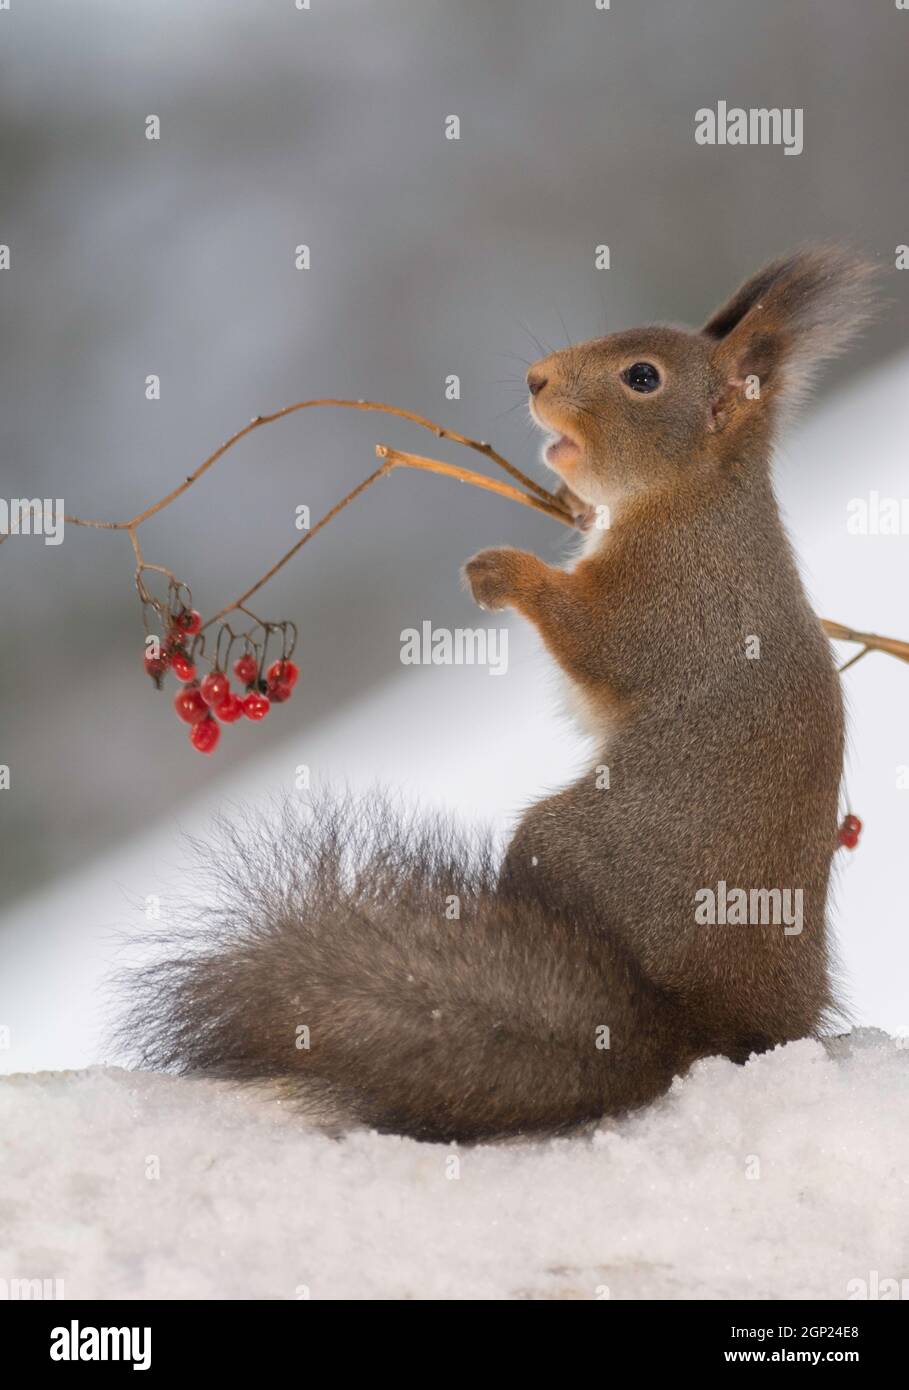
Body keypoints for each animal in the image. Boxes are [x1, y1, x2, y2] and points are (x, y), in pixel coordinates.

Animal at [123, 247, 877, 1143]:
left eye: (642, 377)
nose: (534, 378)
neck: (690, 494)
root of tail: (700, 1029)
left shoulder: (666, 601)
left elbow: (593, 640)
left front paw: (502, 572)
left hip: (564, 841)